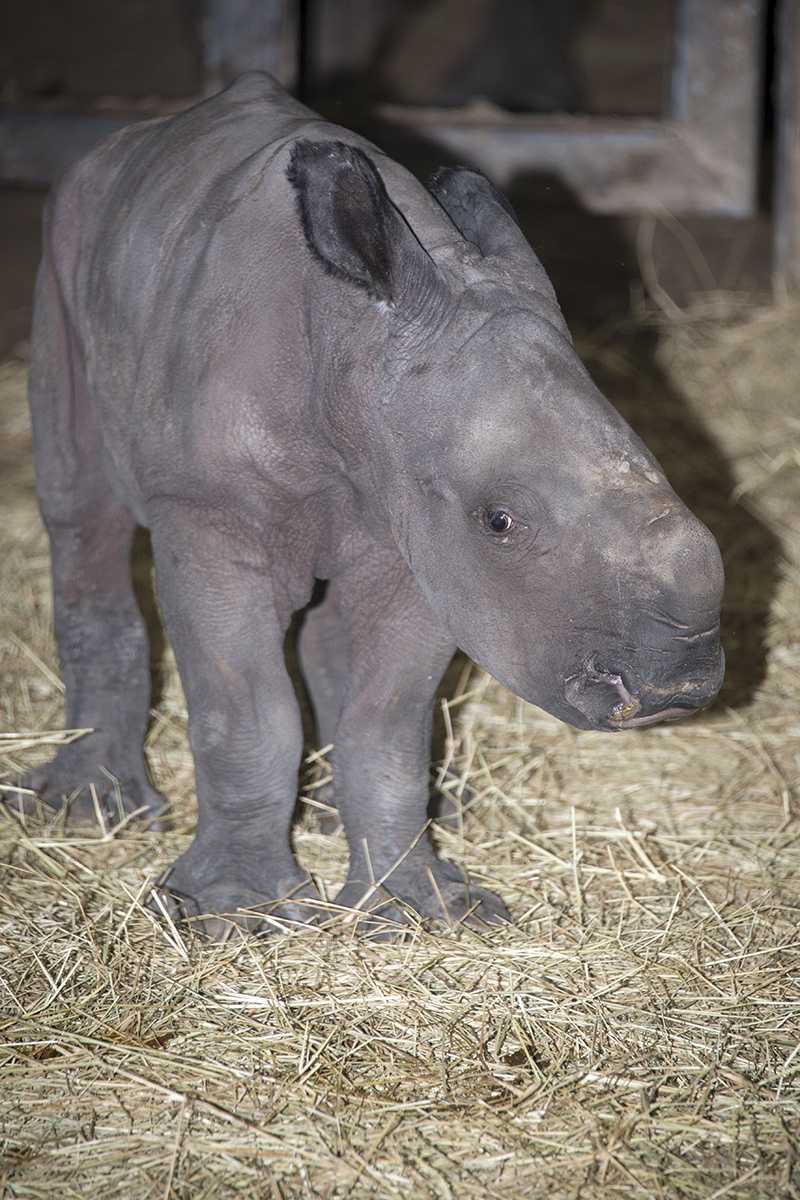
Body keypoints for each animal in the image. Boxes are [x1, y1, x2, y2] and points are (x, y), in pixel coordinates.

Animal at [18, 73, 724, 934]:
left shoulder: (423, 533)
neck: (357, 346)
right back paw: (92, 810)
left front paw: (424, 908)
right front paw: (237, 915)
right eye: (502, 521)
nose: (673, 690)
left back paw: (342, 816)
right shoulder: (213, 515)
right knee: (81, 512)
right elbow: (248, 713)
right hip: (64, 255)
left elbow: (388, 724)